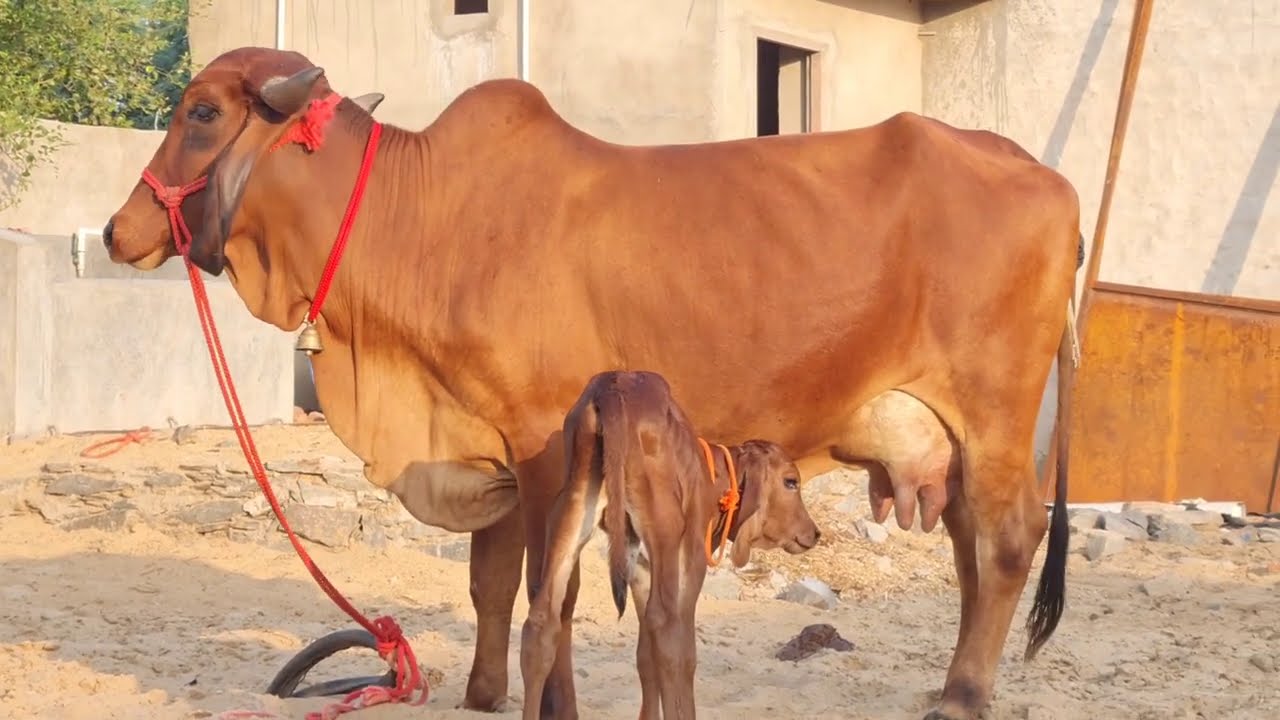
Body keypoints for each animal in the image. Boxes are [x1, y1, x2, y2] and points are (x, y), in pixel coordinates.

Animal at [520, 370, 820, 720]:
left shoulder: (640, 568)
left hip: (571, 507)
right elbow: (682, 651)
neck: (713, 479)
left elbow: (645, 656)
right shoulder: (690, 559)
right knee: (666, 627)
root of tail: (613, 389)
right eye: (791, 482)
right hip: (665, 523)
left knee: (541, 620)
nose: (814, 532)